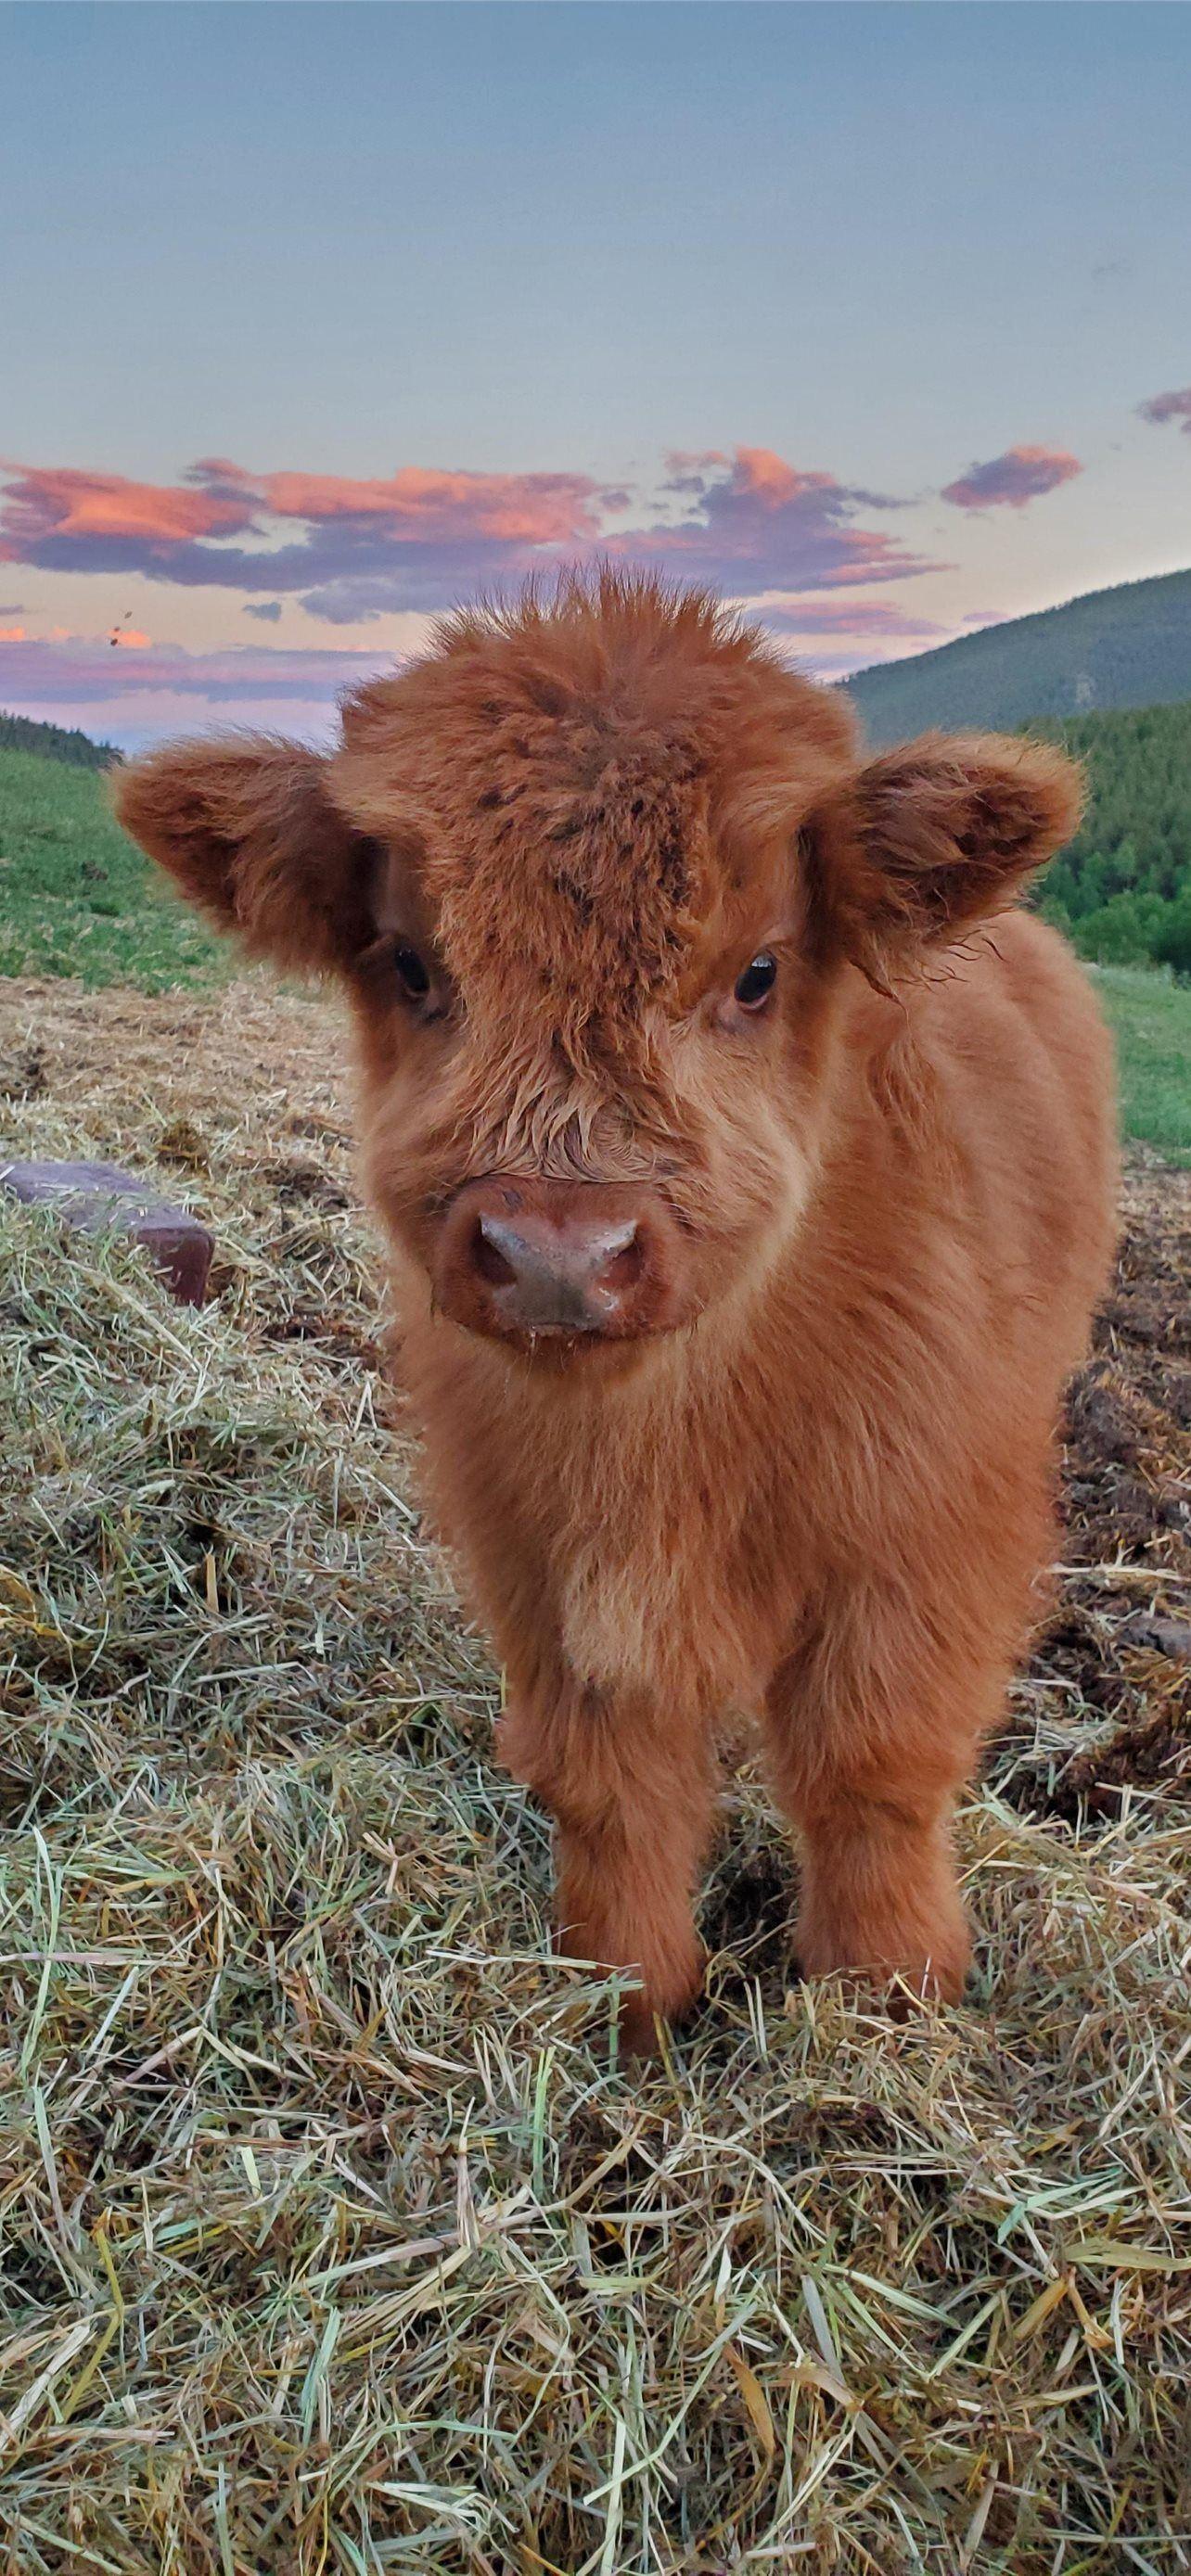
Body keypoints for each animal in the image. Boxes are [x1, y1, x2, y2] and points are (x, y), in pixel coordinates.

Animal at [115, 573, 1117, 2052]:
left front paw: (887, 1999)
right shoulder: (534, 1549)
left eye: (758, 972)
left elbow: (872, 1761)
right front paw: (625, 2002)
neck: (672, 1440)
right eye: (410, 963)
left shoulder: (926, 1532)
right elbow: (610, 1778)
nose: (556, 1253)